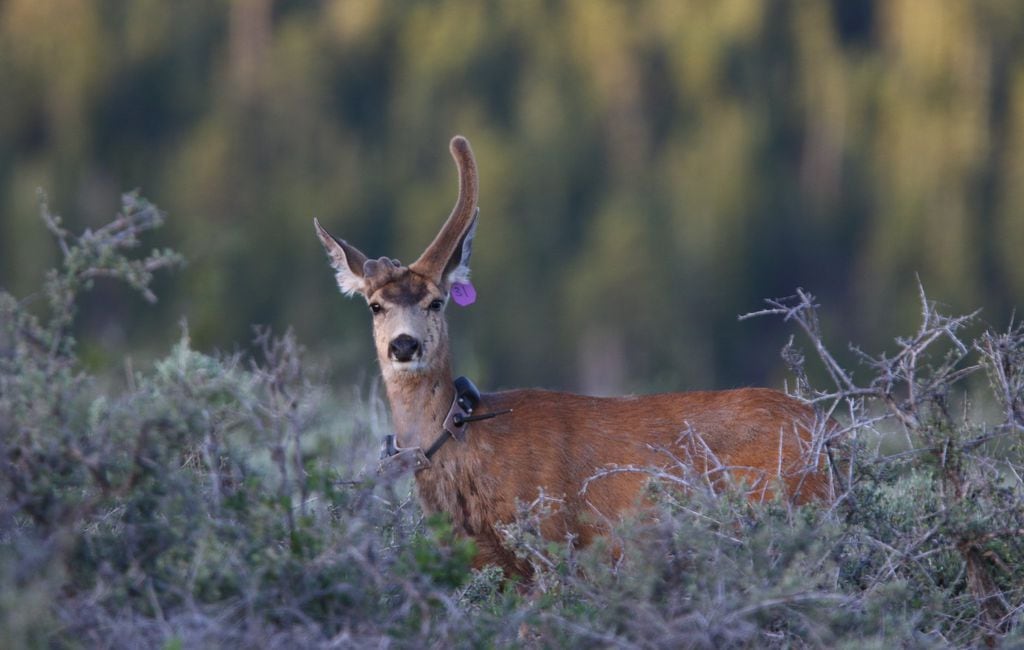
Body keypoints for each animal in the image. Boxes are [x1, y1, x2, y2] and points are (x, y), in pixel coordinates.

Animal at [314, 136, 833, 579]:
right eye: (375, 305)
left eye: (436, 302)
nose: (404, 345)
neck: (469, 444)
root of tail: (830, 438)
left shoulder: (551, 543)